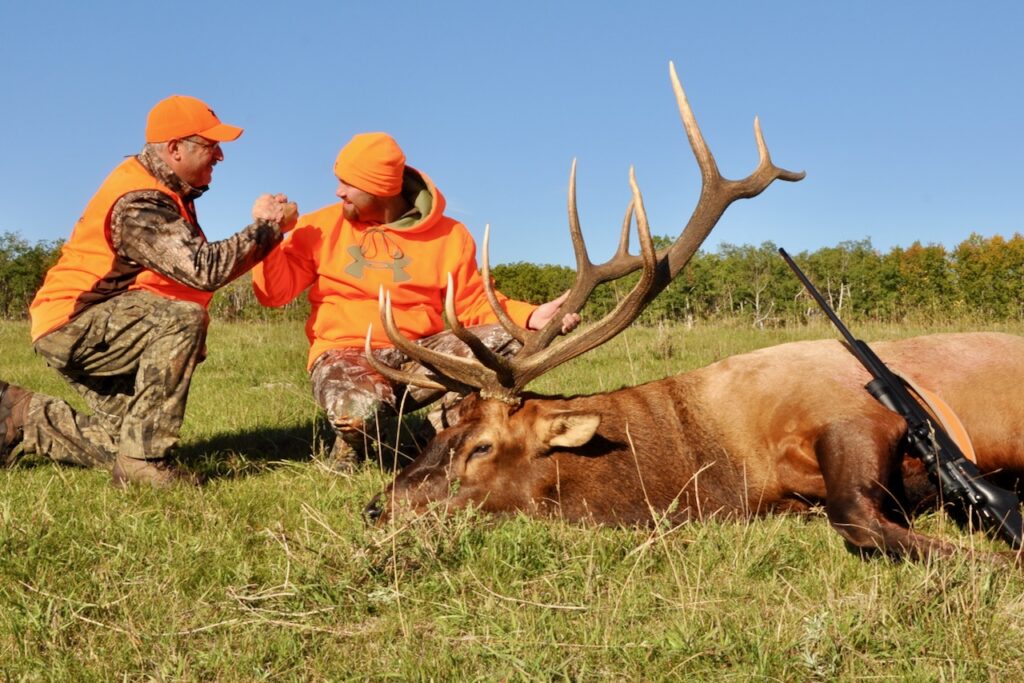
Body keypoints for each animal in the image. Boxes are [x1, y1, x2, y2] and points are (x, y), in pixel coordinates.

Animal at [361, 63, 1024, 564]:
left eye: (480, 447)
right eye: (442, 430)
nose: (375, 507)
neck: (725, 462)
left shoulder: (850, 413)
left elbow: (856, 517)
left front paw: (996, 561)